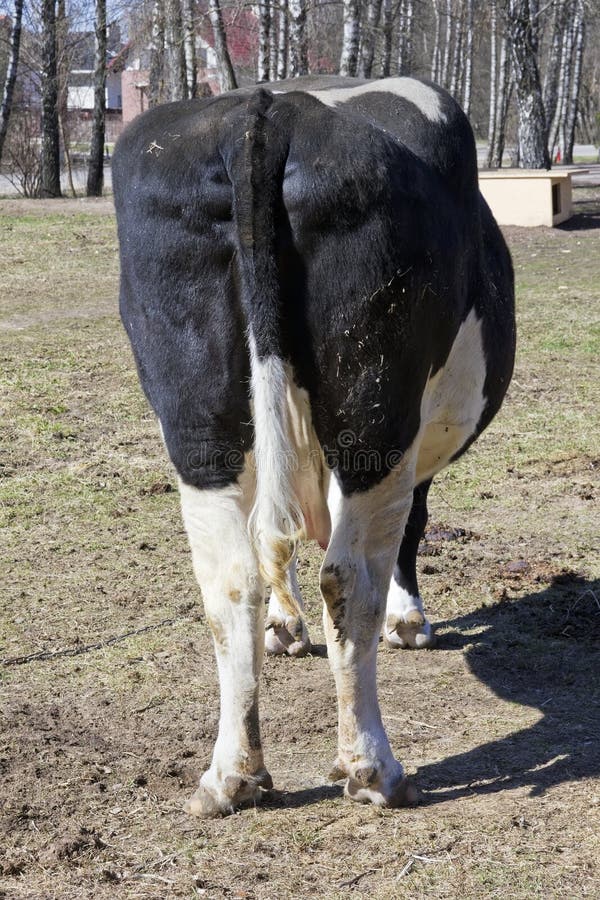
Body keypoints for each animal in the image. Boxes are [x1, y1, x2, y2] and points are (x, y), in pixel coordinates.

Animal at [112, 76, 515, 817]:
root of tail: (268, 109)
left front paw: (286, 626)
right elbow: (408, 530)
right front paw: (409, 620)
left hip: (198, 421)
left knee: (232, 577)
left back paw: (232, 775)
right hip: (376, 416)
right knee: (349, 576)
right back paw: (373, 768)